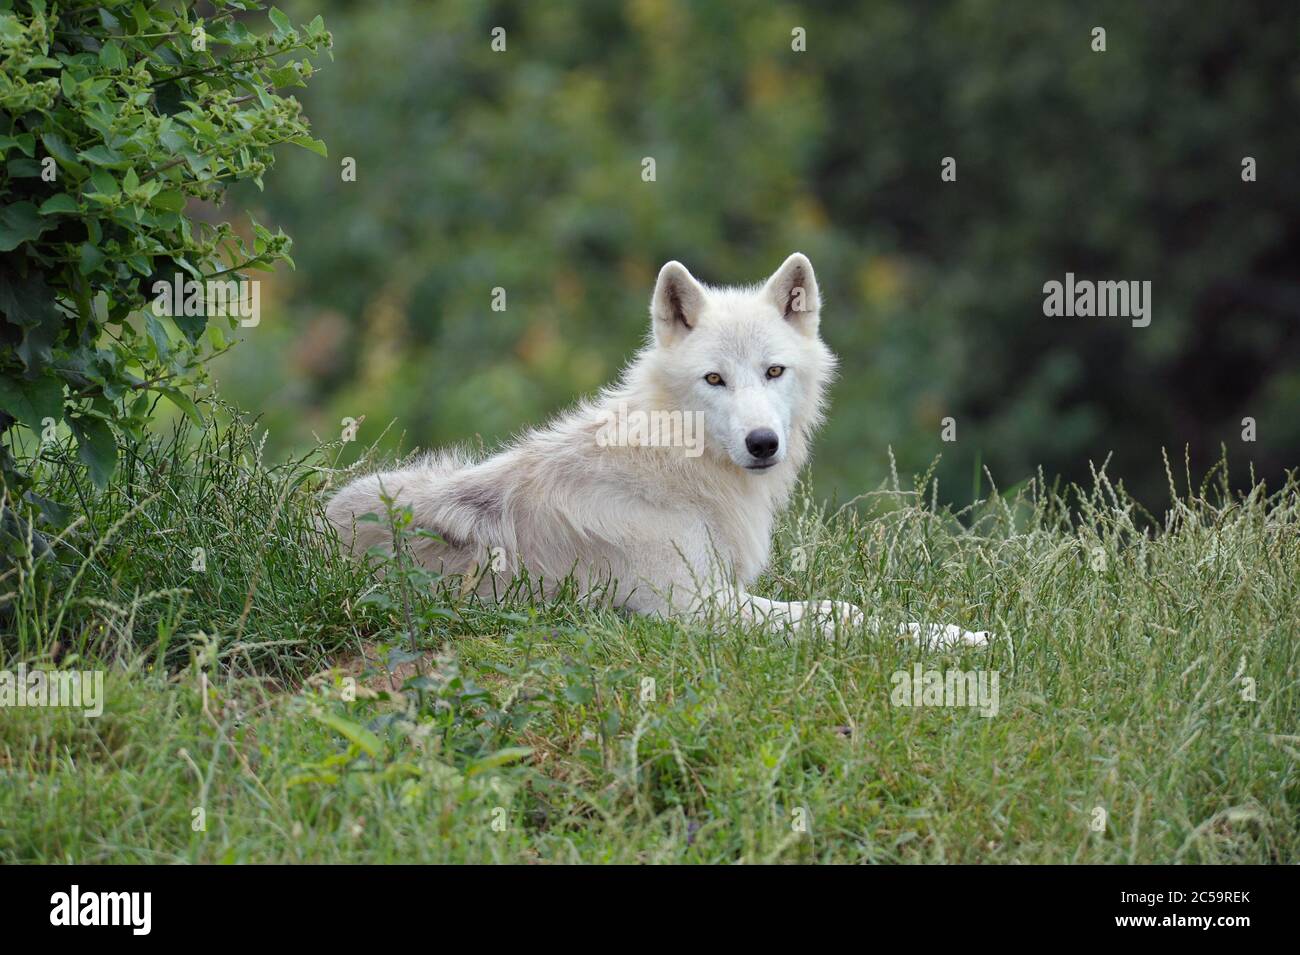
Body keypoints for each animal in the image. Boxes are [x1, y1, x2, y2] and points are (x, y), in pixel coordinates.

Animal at [325, 252, 982, 649]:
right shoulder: (698, 609)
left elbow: (837, 608)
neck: (677, 471)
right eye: (715, 379)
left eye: (774, 370)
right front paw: (966, 640)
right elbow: (840, 614)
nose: (762, 443)